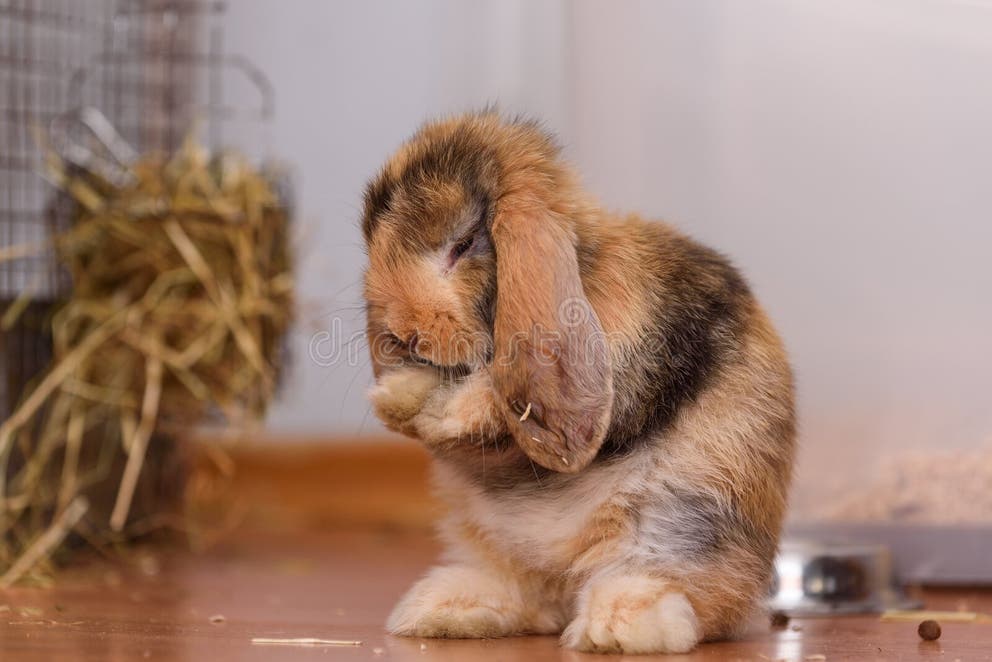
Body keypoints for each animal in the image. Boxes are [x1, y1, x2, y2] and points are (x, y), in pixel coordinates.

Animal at [361, 111, 795, 655]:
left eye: (461, 245)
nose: (404, 333)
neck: (584, 270)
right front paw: (395, 397)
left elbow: (491, 405)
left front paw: (434, 408)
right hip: (490, 536)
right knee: (531, 596)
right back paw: (441, 610)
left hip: (682, 521)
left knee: (681, 591)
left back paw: (617, 626)